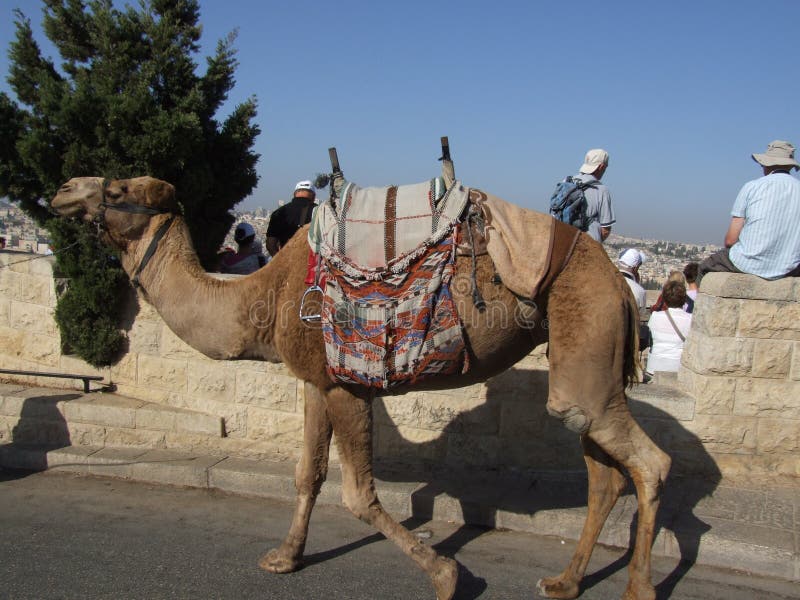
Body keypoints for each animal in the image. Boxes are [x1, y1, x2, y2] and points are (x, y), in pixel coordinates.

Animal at [50, 176, 671, 600]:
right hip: (588, 356)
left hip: (585, 316)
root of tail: (619, 281)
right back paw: (565, 581)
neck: (261, 298)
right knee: (602, 469)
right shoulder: (315, 380)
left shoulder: (348, 388)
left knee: (648, 461)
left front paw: (446, 575)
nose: (62, 190)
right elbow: (307, 474)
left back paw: (638, 588)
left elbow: (357, 494)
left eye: (117, 187)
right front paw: (284, 558)